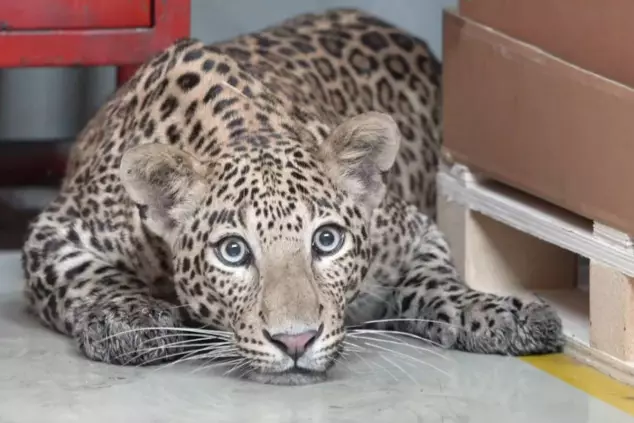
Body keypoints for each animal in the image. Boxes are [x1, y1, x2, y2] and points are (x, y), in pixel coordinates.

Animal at [22, 8, 560, 386]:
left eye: (327, 241)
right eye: (233, 251)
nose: (296, 341)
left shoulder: (412, 230)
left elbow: (438, 281)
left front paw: (501, 314)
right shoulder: (56, 232)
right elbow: (90, 277)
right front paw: (131, 319)